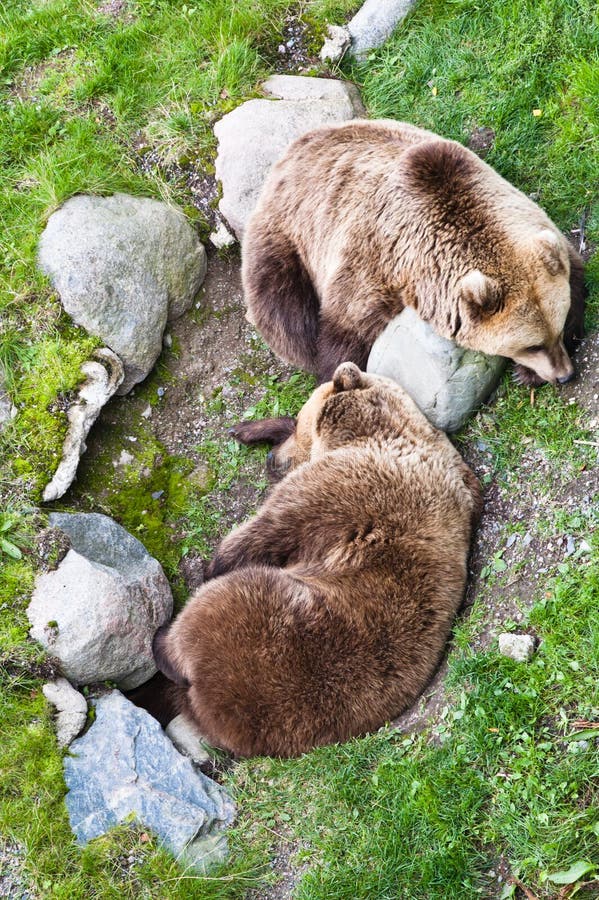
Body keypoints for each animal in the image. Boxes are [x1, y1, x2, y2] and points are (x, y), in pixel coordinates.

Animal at [153, 363, 481, 758]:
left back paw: (163, 638)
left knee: (214, 610)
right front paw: (249, 428)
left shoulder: (342, 486)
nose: (272, 459)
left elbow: (267, 529)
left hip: (264, 630)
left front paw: (212, 562)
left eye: (301, 422)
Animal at [242, 119, 585, 388]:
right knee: (284, 313)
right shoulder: (371, 264)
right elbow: (344, 334)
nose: (564, 375)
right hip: (284, 233)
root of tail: (293, 149)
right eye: (531, 346)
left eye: (557, 328)